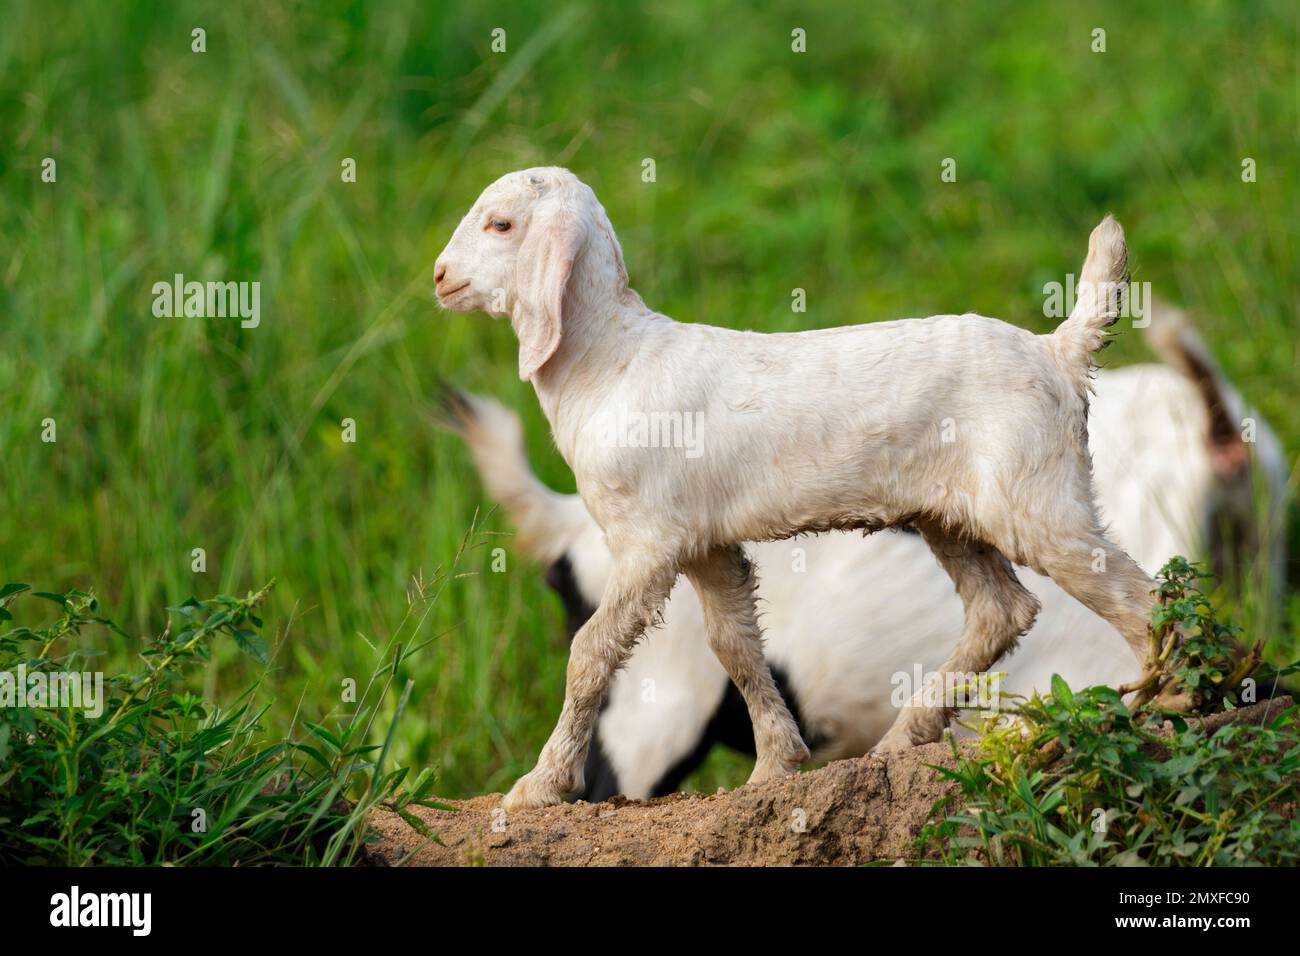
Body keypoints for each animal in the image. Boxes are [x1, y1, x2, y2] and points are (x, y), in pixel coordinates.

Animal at [436, 167, 1155, 811]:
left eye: (501, 224)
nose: (440, 277)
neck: (608, 364)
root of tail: (1058, 350)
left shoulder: (648, 542)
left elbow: (590, 653)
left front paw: (539, 788)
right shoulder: (704, 542)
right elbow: (737, 646)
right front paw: (775, 767)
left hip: (1036, 494)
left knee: (1134, 594)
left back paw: (1156, 700)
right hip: (950, 515)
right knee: (1001, 610)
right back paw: (900, 743)